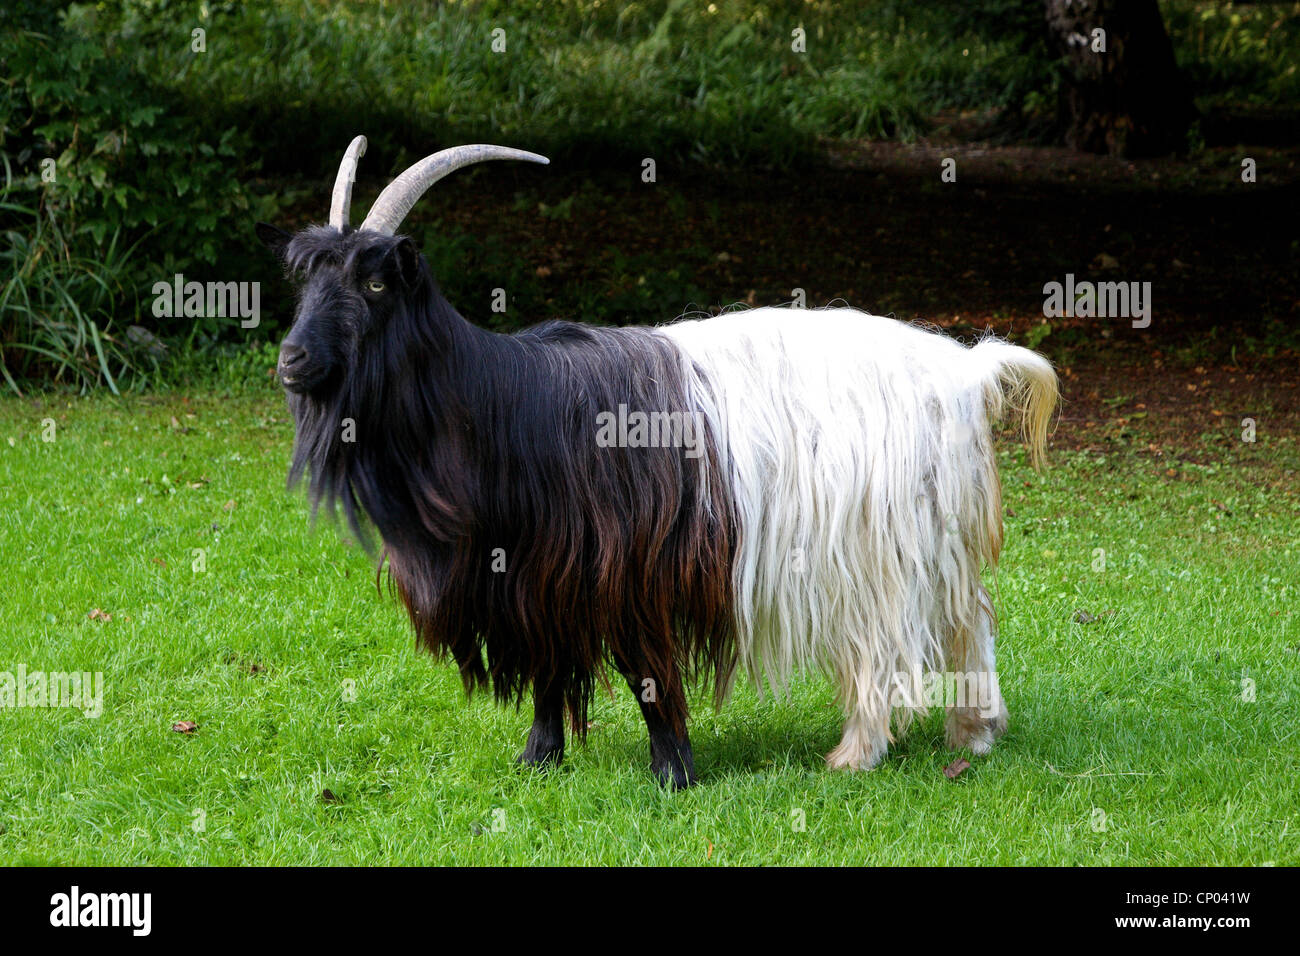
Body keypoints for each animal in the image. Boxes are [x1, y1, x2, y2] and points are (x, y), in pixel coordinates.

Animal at [257, 137, 1058, 789]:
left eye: (374, 282)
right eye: (305, 280)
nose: (292, 360)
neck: (495, 400)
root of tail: (964, 371)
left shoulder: (629, 561)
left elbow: (647, 670)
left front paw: (675, 772)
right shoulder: (538, 571)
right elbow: (549, 669)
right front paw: (538, 758)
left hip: (876, 545)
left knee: (890, 643)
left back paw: (856, 753)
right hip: (935, 535)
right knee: (967, 618)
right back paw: (974, 734)